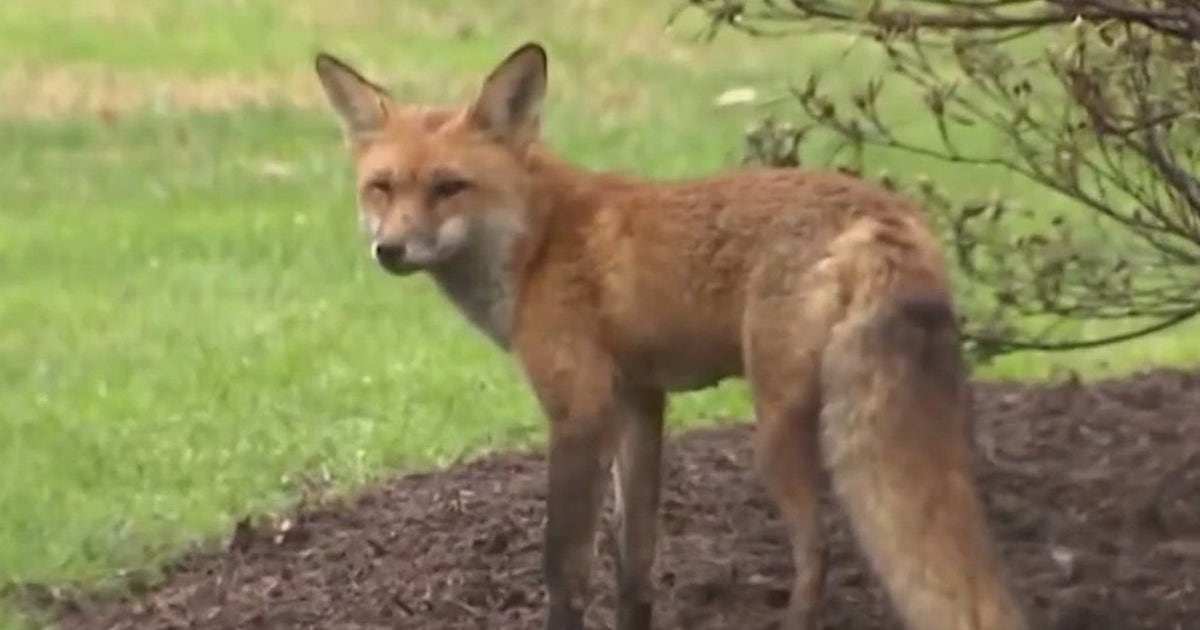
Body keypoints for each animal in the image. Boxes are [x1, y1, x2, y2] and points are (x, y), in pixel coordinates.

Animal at [312, 41, 1030, 630]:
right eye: (381, 188)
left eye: (449, 187)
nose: (390, 249)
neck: (538, 243)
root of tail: (885, 216)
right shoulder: (638, 402)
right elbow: (636, 563)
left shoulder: (579, 410)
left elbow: (563, 568)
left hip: (776, 428)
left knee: (818, 552)